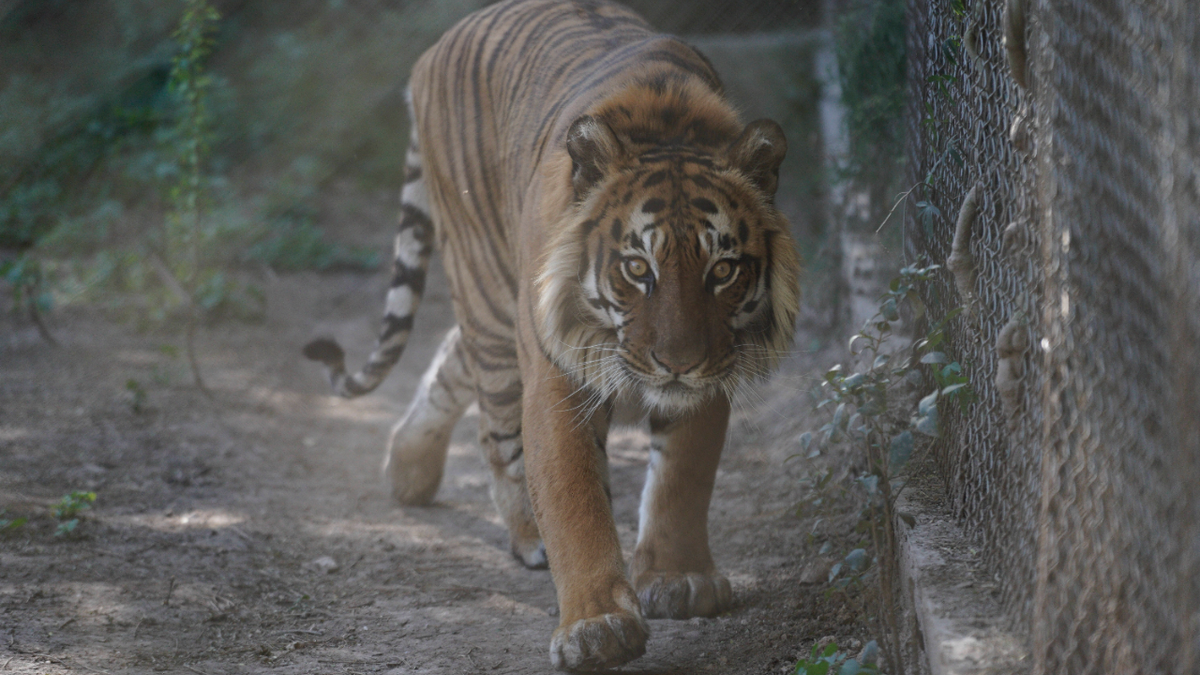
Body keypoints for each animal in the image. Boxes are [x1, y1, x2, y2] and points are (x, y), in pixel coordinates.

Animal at [303, 0, 801, 669]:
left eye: (722, 270)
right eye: (637, 268)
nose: (677, 362)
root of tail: (435, 49)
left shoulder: (714, 366)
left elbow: (683, 477)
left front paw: (682, 580)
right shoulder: (558, 370)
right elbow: (572, 496)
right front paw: (597, 626)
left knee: (451, 361)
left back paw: (407, 470)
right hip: (489, 296)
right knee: (494, 427)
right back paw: (522, 534)